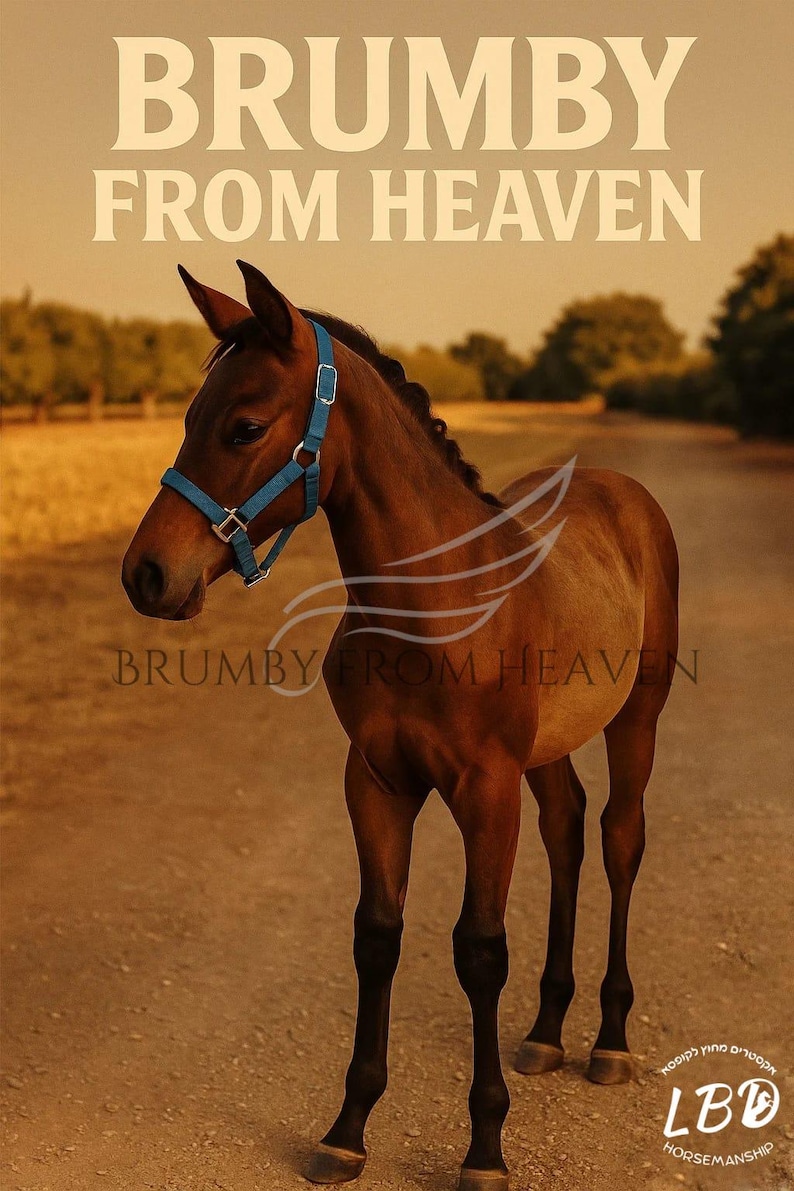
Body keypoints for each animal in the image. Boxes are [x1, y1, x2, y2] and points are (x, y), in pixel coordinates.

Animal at [122, 261, 679, 1190]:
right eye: (190, 418)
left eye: (244, 426)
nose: (146, 574)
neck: (437, 602)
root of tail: (623, 489)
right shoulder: (377, 780)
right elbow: (377, 934)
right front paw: (347, 1127)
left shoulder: (483, 787)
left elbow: (479, 948)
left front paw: (484, 1147)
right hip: (545, 752)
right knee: (566, 830)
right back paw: (545, 1032)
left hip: (637, 715)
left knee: (619, 839)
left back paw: (607, 1039)